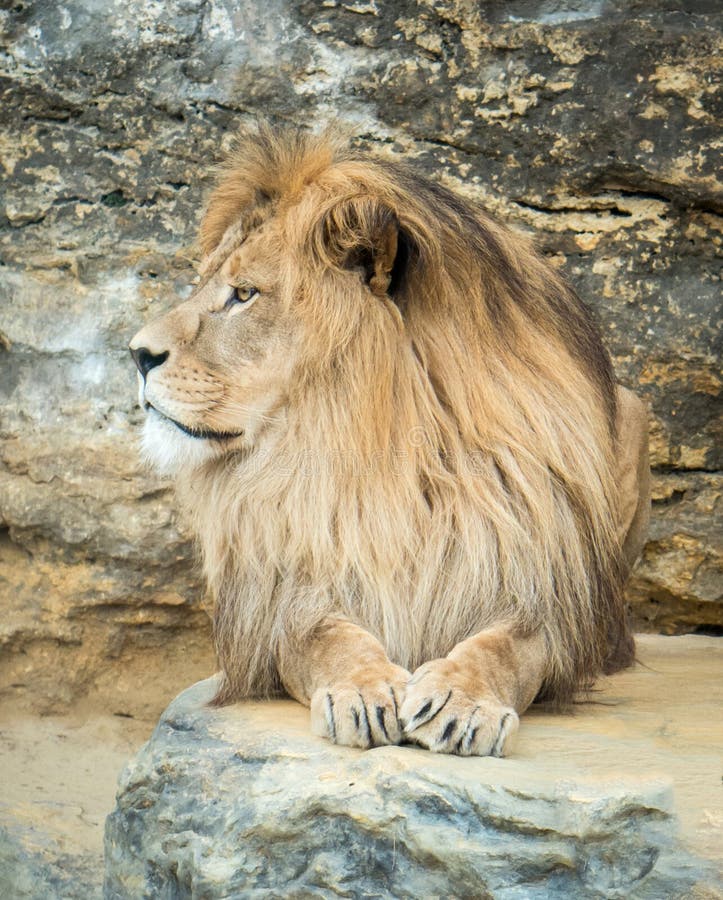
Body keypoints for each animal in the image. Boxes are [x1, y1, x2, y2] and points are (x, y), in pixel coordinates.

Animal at [129, 124, 650, 757]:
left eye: (245, 294)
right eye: (204, 284)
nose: (137, 354)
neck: (383, 451)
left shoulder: (543, 599)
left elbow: (504, 647)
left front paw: (462, 701)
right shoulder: (284, 599)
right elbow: (326, 637)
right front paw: (362, 688)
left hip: (632, 411)